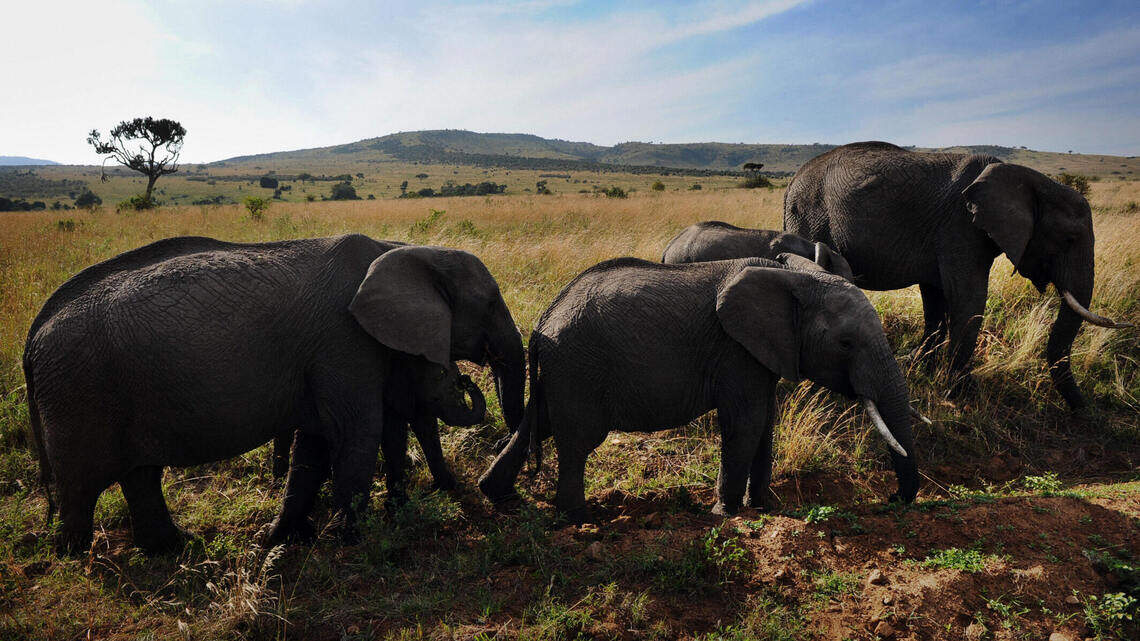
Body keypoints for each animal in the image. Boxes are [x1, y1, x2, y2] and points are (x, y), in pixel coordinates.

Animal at [23, 234, 525, 554]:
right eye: (492, 303)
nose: (467, 380)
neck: (403, 250)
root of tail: (35, 335)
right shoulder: (345, 341)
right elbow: (356, 432)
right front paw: (351, 543)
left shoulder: (326, 354)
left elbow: (316, 444)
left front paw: (283, 540)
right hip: (77, 393)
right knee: (81, 489)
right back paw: (77, 560)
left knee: (139, 475)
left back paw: (174, 549)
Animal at [479, 256, 919, 522]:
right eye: (845, 343)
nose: (893, 499)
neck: (792, 278)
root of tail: (543, 322)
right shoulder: (735, 351)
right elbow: (746, 423)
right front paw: (725, 514)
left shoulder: (760, 353)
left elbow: (765, 424)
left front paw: (763, 506)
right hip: (578, 366)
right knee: (576, 441)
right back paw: (579, 518)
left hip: (564, 370)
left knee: (538, 425)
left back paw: (499, 496)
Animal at [784, 142, 1132, 408]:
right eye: (1069, 239)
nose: (1084, 409)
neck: (1026, 178)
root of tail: (791, 182)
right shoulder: (960, 227)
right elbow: (968, 297)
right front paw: (961, 394)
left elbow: (936, 297)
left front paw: (923, 369)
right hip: (809, 217)